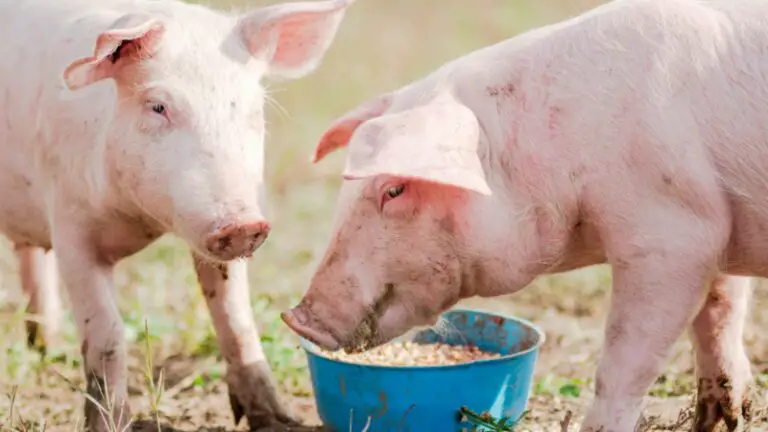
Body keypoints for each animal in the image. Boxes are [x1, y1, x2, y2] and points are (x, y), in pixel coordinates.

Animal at [0, 0, 355, 430]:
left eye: (254, 110)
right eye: (158, 106)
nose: (243, 225)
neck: (140, 221)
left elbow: (236, 319)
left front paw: (278, 420)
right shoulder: (71, 227)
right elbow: (106, 333)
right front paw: (111, 424)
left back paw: (48, 348)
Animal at [281, 0, 767, 430]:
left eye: (394, 189)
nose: (297, 318)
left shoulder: (673, 236)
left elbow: (625, 357)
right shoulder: (714, 225)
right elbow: (719, 312)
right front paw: (719, 421)